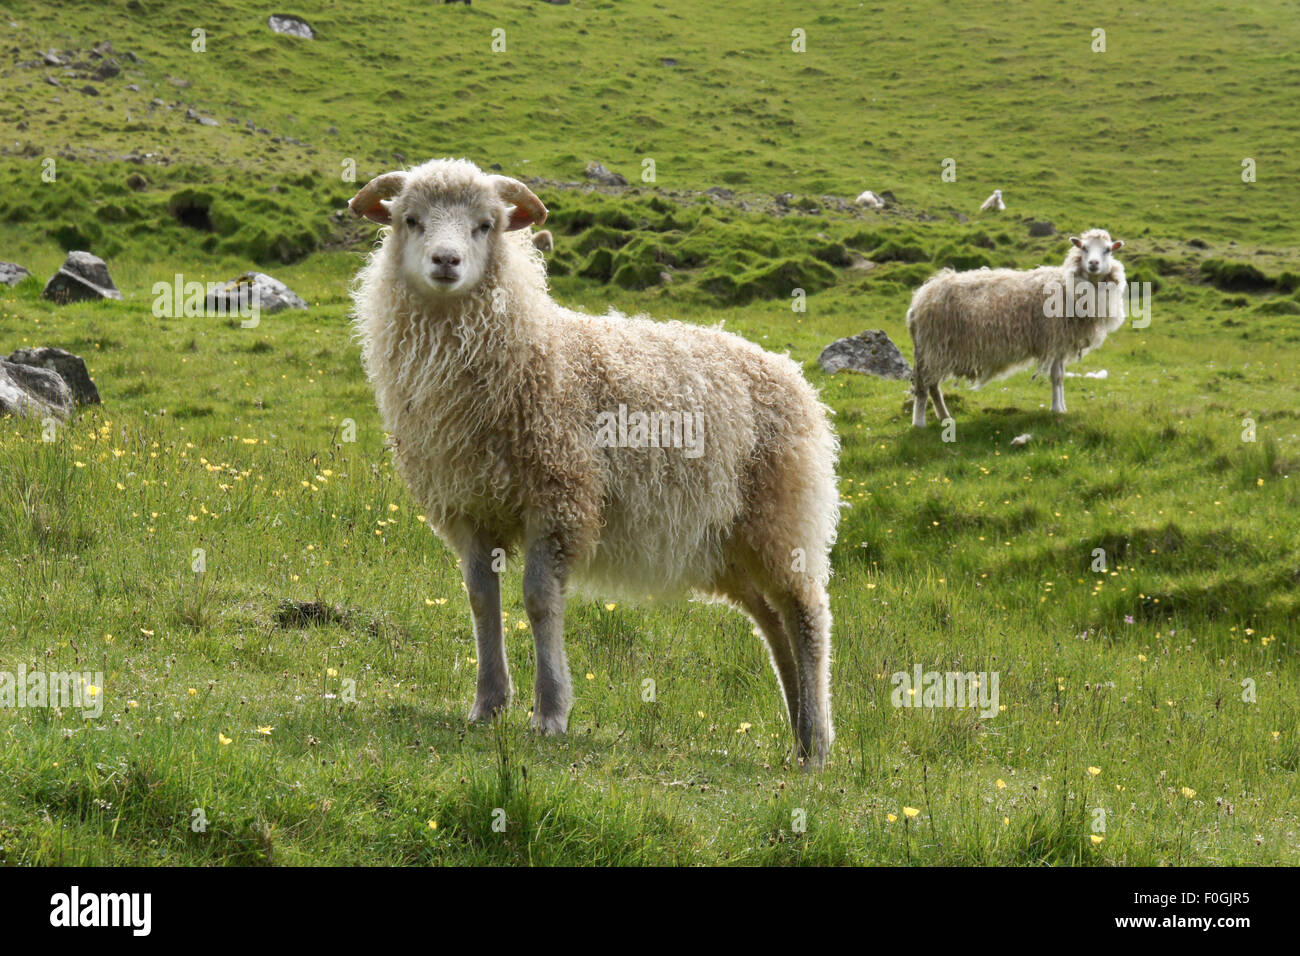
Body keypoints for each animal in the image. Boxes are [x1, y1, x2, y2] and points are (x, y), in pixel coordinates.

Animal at [348, 158, 841, 768]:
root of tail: (790, 374)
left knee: (806, 618)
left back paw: (816, 743)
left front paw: (551, 712)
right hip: (731, 542)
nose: (446, 261)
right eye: (410, 220)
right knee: (772, 626)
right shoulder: (469, 510)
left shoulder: (559, 498)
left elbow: (539, 601)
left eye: (486, 225)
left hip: (783, 519)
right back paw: (798, 736)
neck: (532, 351)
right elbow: (482, 601)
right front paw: (488, 704)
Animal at [906, 228, 1126, 427]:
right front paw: (1057, 410)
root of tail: (918, 301)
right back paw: (920, 423)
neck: (1068, 286)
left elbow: (1061, 377)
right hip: (934, 347)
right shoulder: (1054, 339)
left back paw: (945, 417)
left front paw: (1062, 407)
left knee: (932, 386)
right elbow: (1056, 377)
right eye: (1084, 248)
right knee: (924, 385)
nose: (1093, 264)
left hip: (933, 350)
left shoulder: (1062, 343)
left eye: (1107, 250)